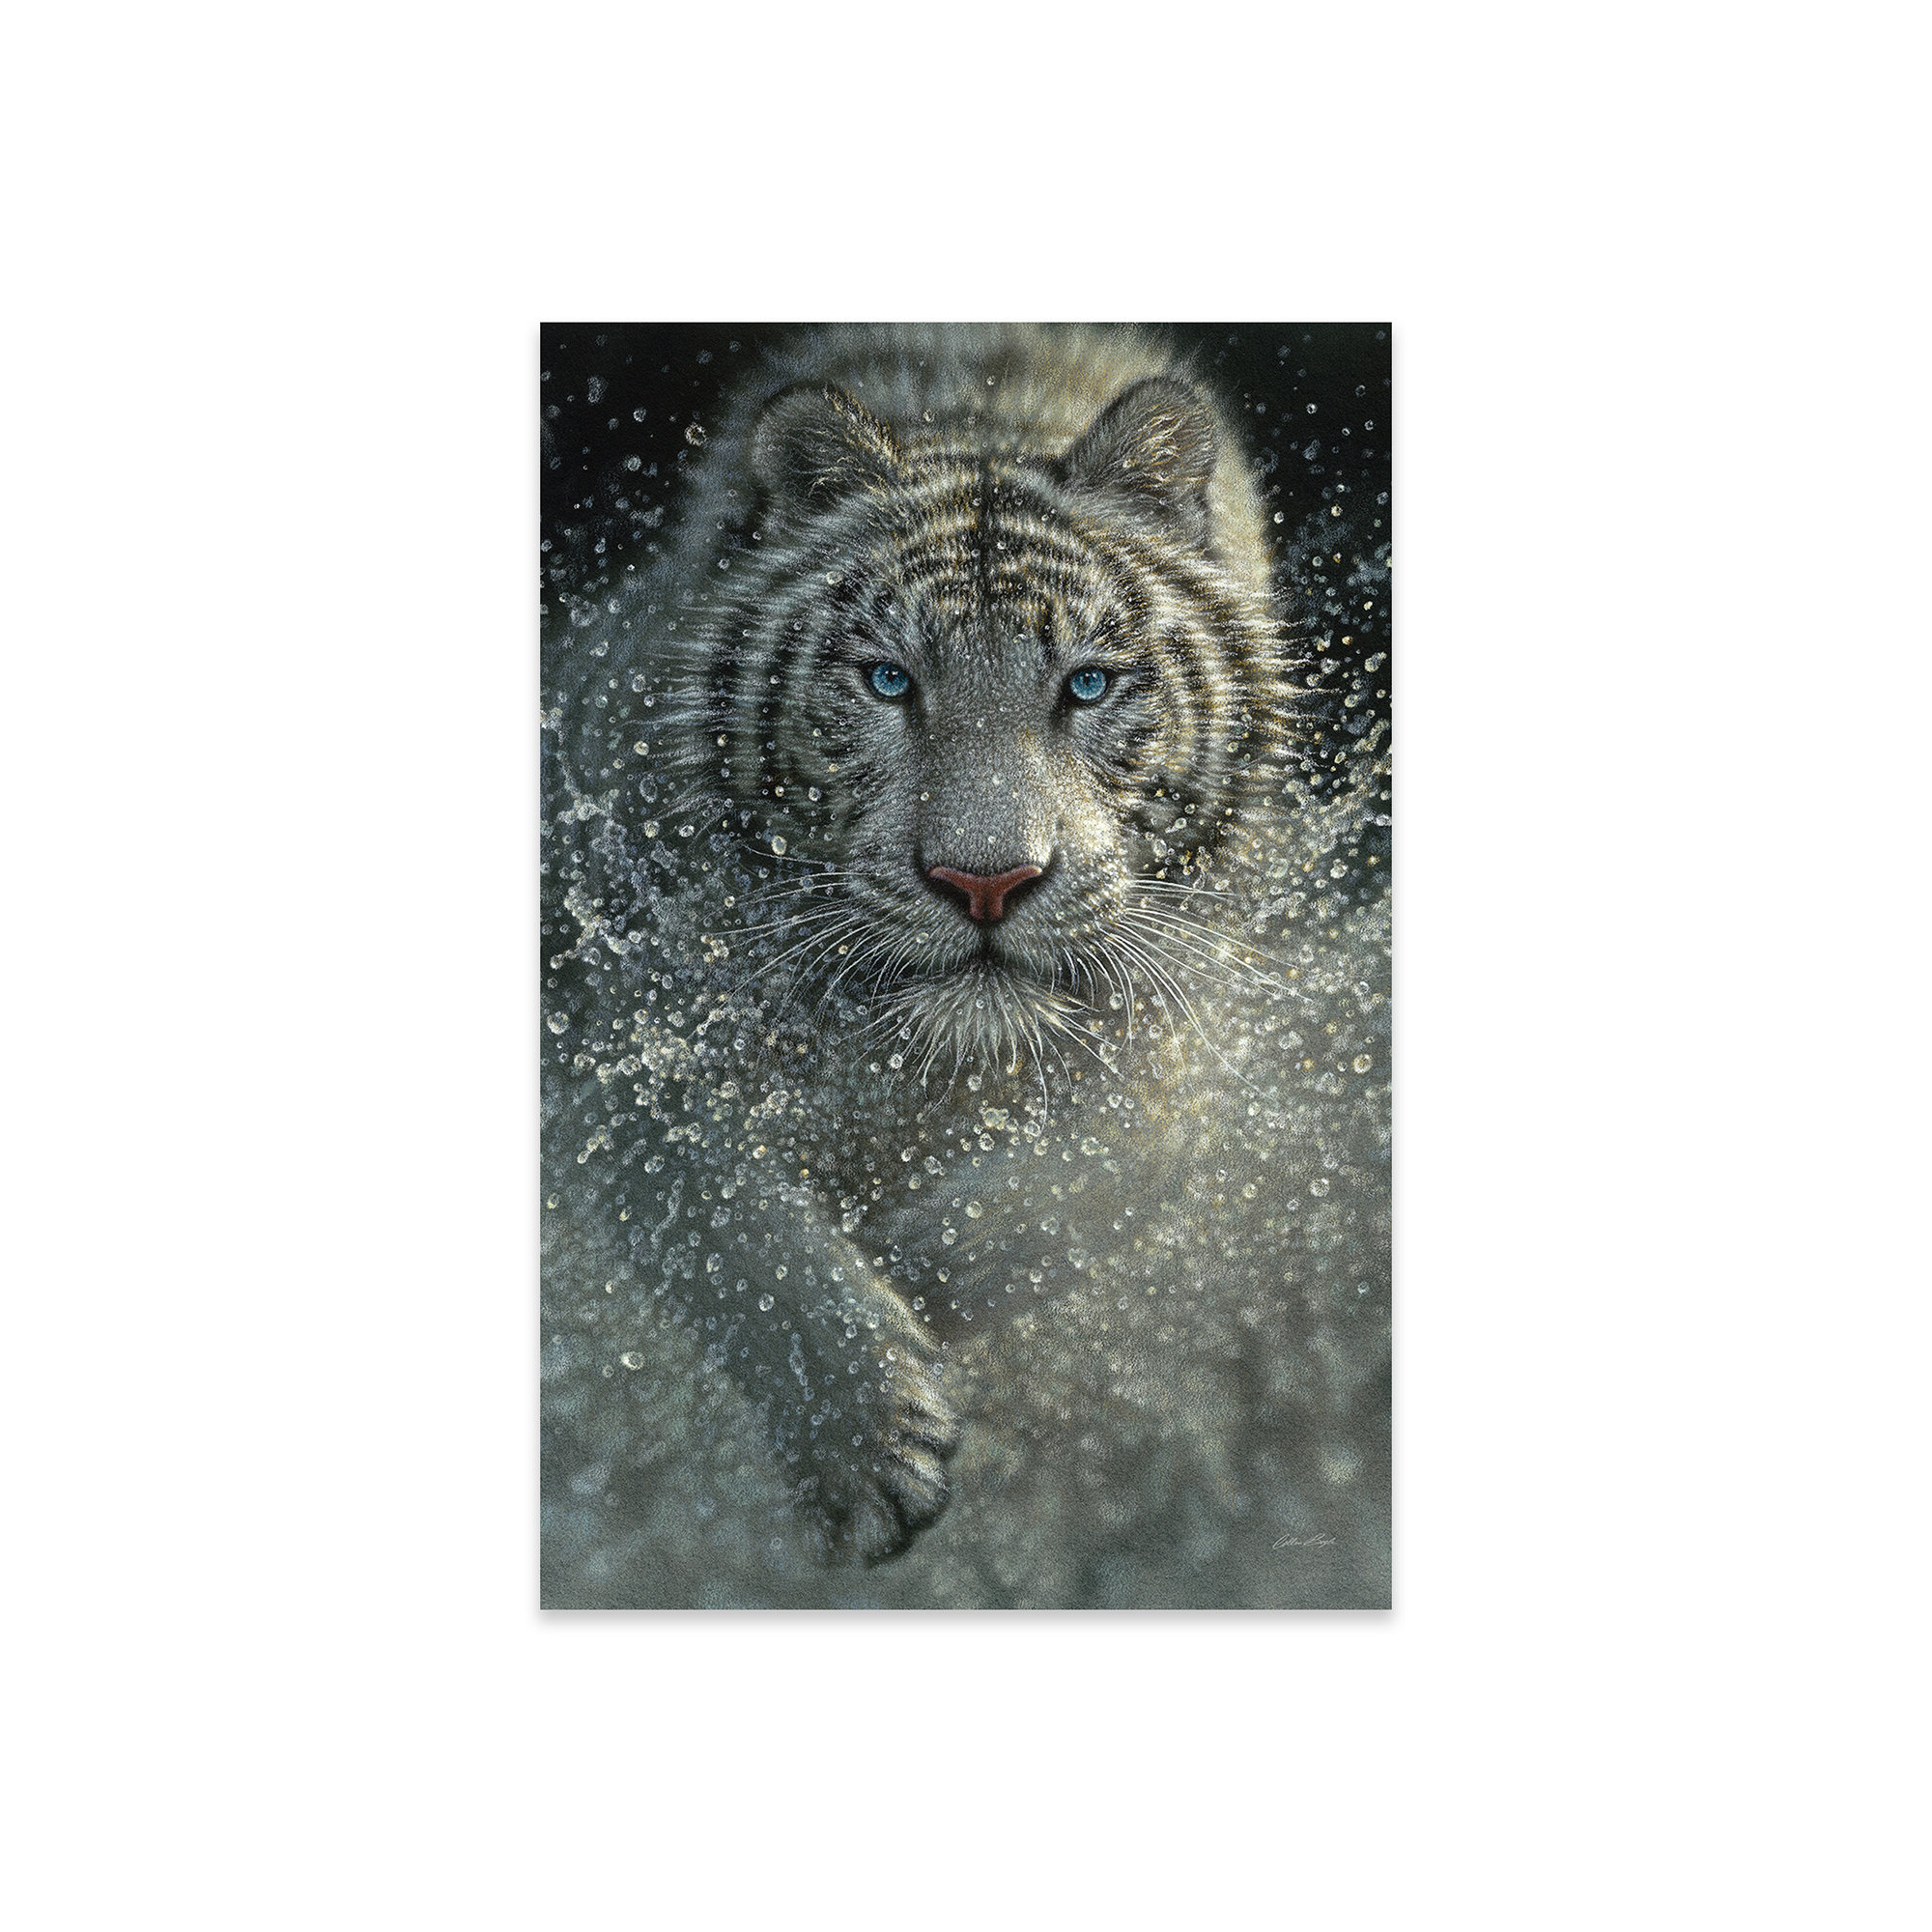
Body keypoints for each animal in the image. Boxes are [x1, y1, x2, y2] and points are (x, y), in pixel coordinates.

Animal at [541, 325, 1390, 1600]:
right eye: (888, 680)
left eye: (1086, 682)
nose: (984, 882)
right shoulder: (613, 1020)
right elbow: (730, 1220)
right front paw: (868, 1444)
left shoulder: (1197, 1023)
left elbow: (1108, 1168)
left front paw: (916, 1275)